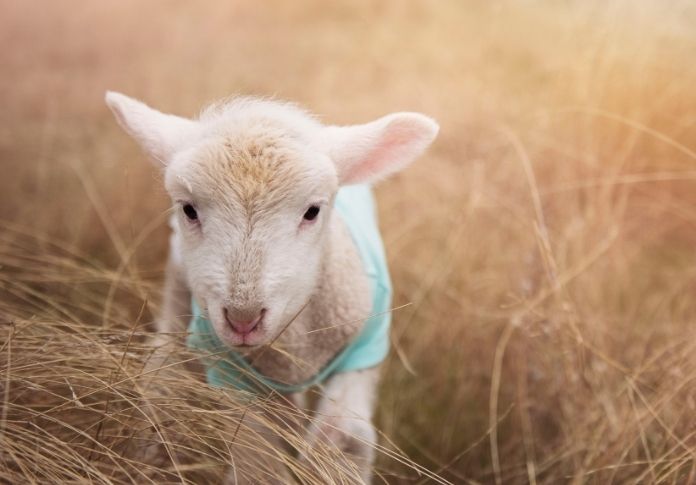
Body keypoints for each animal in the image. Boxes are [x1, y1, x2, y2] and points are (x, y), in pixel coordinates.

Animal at [105, 91, 438, 483]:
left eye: (313, 211)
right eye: (188, 209)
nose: (243, 318)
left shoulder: (363, 351)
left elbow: (344, 442)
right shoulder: (237, 375)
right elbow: (257, 461)